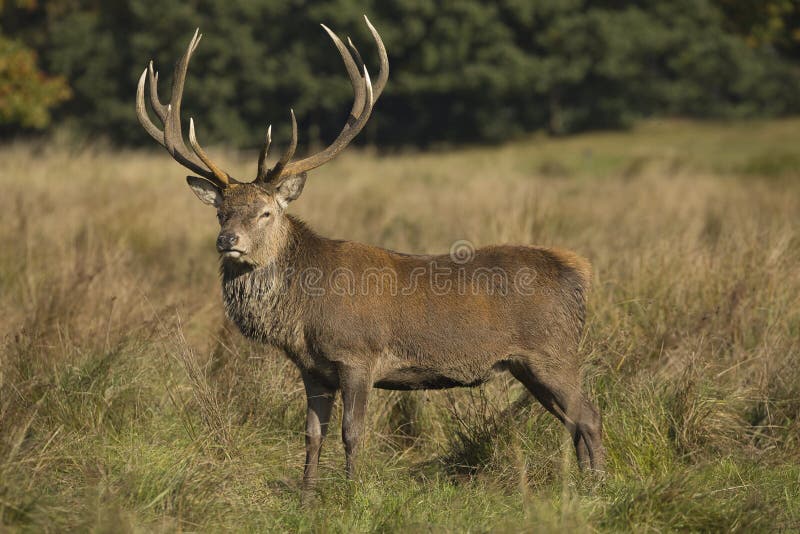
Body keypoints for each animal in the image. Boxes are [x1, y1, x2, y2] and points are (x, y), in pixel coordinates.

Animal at [135, 16, 605, 494]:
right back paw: (584, 484)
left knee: (589, 415)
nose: (227, 240)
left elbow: (352, 432)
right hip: (528, 364)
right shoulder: (312, 368)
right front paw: (307, 496)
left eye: (266, 212)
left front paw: (350, 492)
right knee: (574, 421)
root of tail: (580, 271)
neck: (301, 312)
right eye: (220, 212)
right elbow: (312, 434)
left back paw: (598, 487)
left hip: (552, 352)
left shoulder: (358, 355)